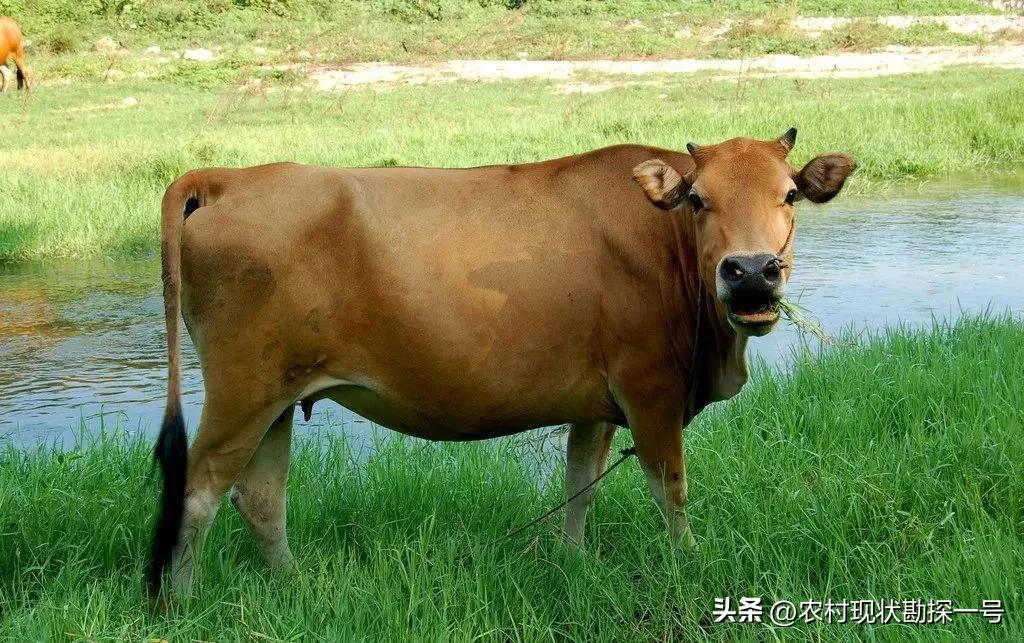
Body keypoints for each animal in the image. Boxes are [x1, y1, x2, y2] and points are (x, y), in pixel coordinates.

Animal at [147, 130, 855, 597]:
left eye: (790, 195)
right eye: (698, 200)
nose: (752, 271)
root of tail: (229, 177)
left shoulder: (598, 400)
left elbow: (580, 480)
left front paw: (573, 561)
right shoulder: (650, 387)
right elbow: (670, 488)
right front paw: (691, 565)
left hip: (278, 394)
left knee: (261, 496)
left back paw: (296, 584)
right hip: (242, 391)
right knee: (199, 489)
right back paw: (182, 599)